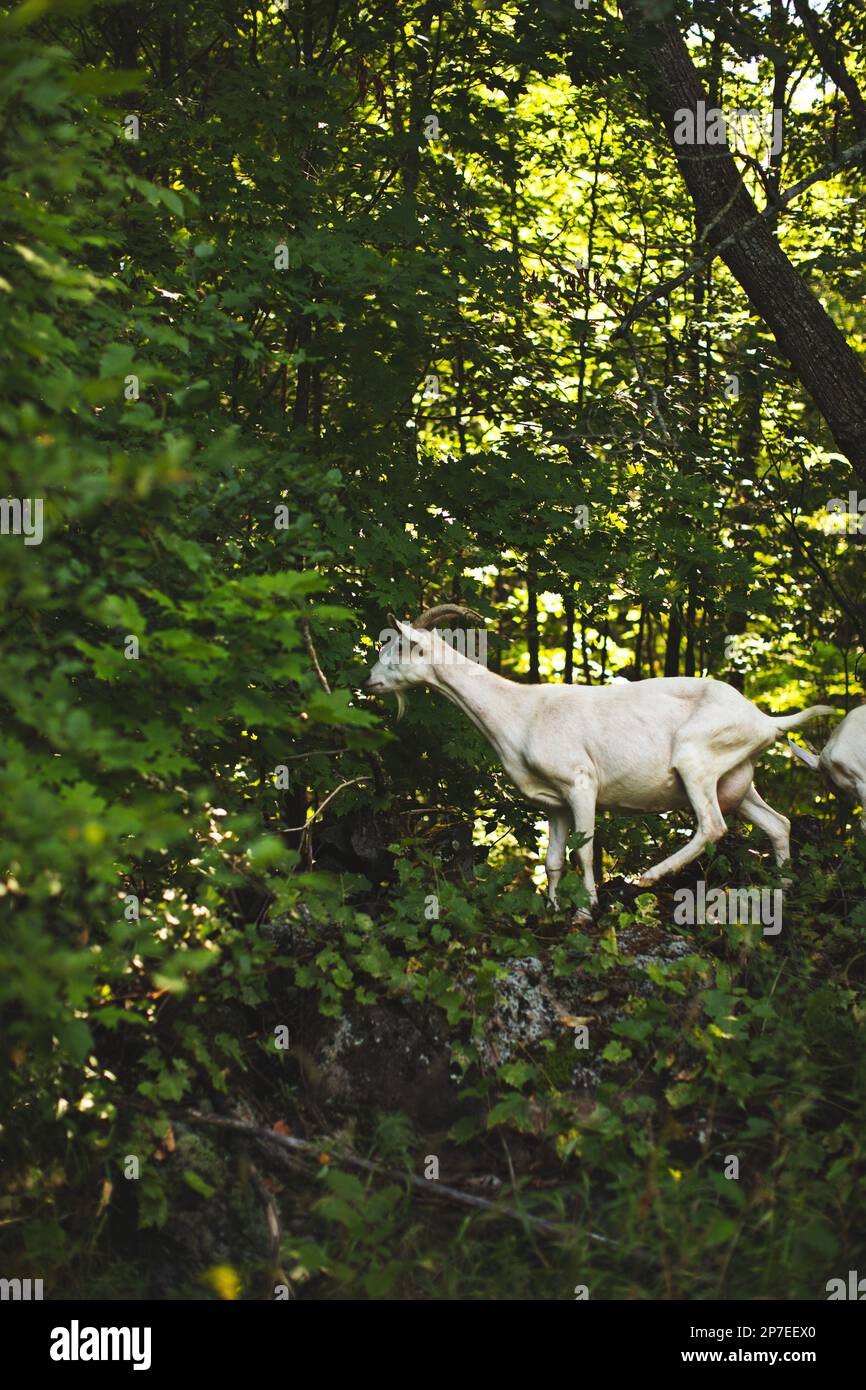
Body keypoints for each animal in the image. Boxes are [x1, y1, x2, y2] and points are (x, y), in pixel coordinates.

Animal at [365, 605, 836, 916]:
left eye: (398, 648)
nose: (368, 682)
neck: (521, 711)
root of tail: (763, 718)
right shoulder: (552, 804)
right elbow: (553, 860)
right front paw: (552, 908)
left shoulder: (581, 783)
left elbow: (585, 851)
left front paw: (586, 909)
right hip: (737, 780)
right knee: (778, 823)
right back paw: (784, 889)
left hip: (697, 760)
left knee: (712, 826)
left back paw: (647, 878)